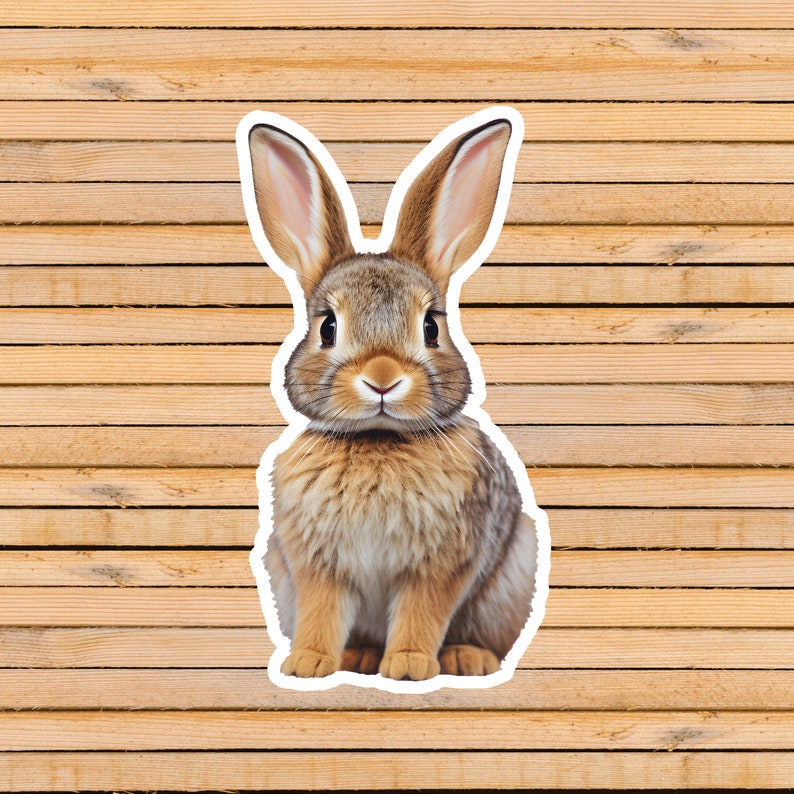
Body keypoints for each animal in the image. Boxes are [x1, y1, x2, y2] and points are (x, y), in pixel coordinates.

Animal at [238, 107, 547, 686]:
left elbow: (423, 612)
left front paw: (407, 668)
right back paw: (357, 658)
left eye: (431, 327)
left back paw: (464, 658)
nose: (382, 378)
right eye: (327, 327)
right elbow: (321, 612)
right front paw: (307, 664)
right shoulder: (316, 562)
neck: (378, 440)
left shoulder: (442, 562)